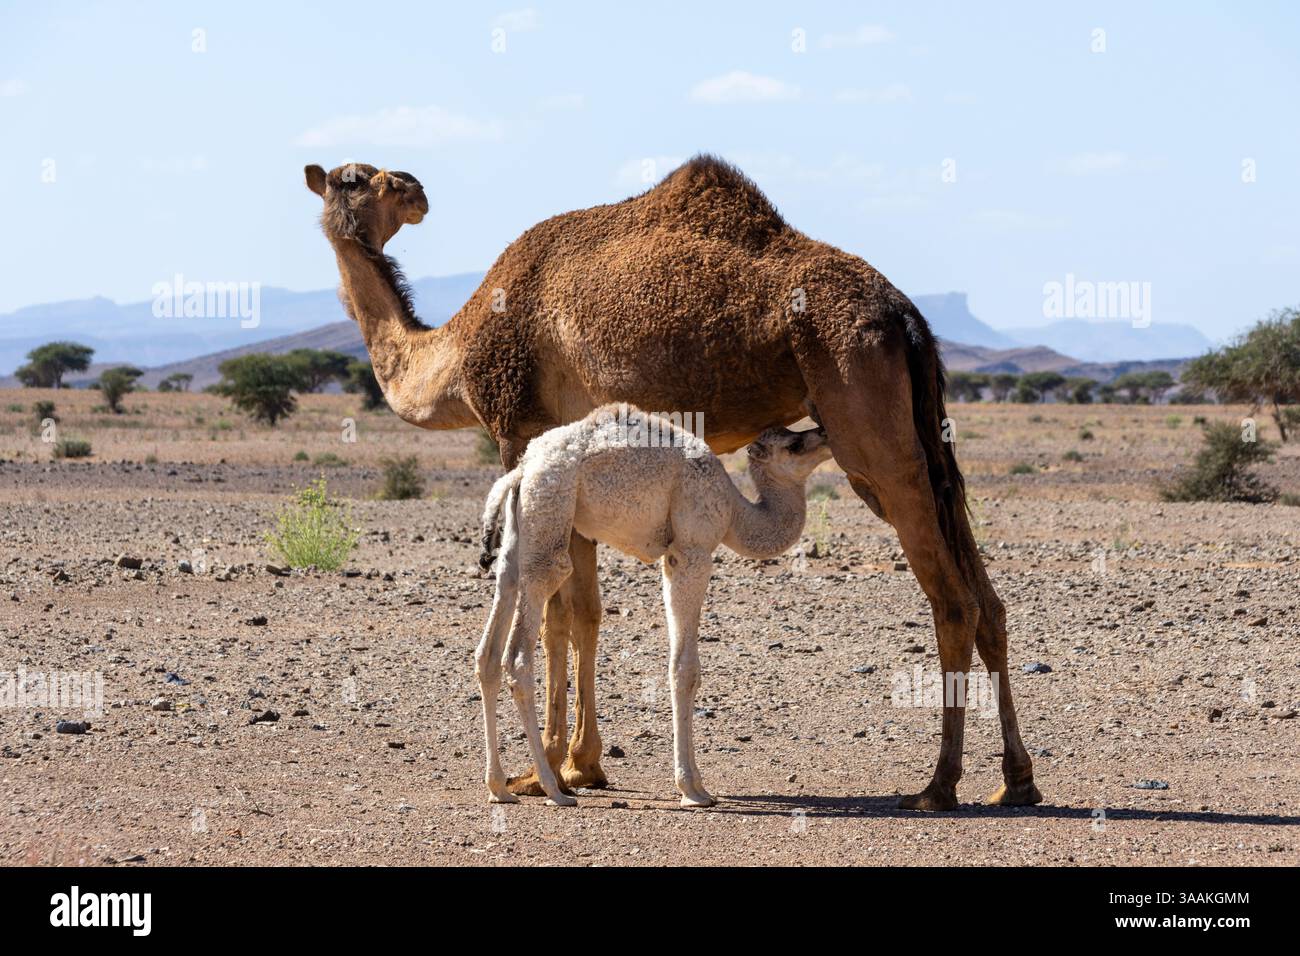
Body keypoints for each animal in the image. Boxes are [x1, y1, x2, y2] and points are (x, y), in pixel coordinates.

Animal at [474, 405, 833, 808]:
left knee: (492, 637)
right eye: (794, 444)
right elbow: (685, 669)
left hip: (520, 529)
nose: (826, 435)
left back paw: (499, 787)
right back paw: (553, 789)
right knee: (519, 652)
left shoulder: (670, 557)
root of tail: (521, 471)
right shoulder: (691, 552)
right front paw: (693, 788)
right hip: (551, 516)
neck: (735, 512)